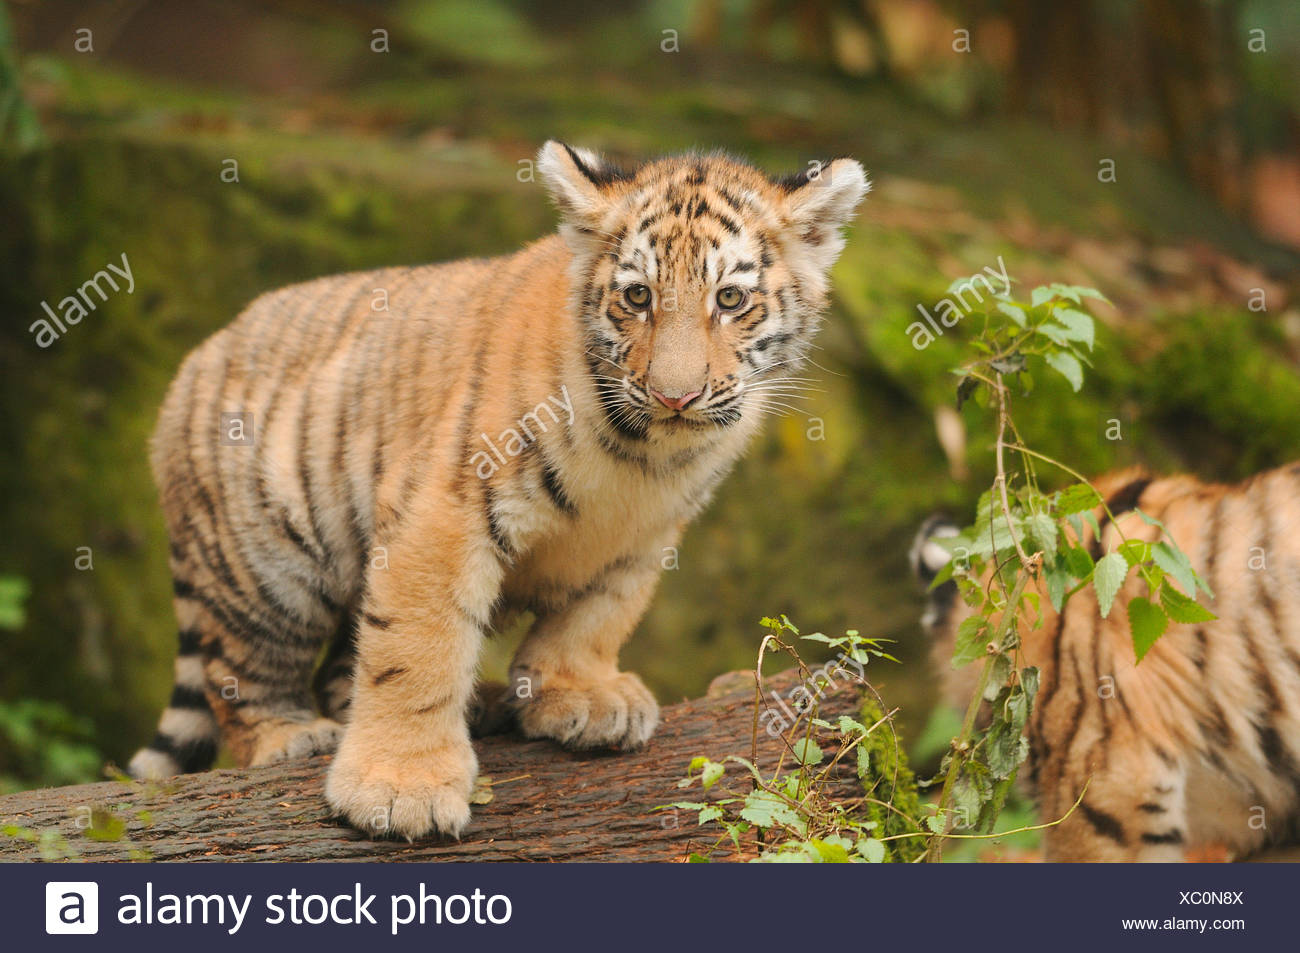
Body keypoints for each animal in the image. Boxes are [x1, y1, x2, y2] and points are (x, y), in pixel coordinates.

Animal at [127, 141, 869, 840]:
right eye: (637, 297)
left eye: (730, 300)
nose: (674, 395)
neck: (646, 454)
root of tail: (196, 358)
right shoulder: (443, 510)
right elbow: (415, 648)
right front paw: (401, 789)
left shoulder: (646, 534)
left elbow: (599, 613)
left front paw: (581, 694)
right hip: (266, 564)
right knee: (243, 672)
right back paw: (292, 737)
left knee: (341, 664)